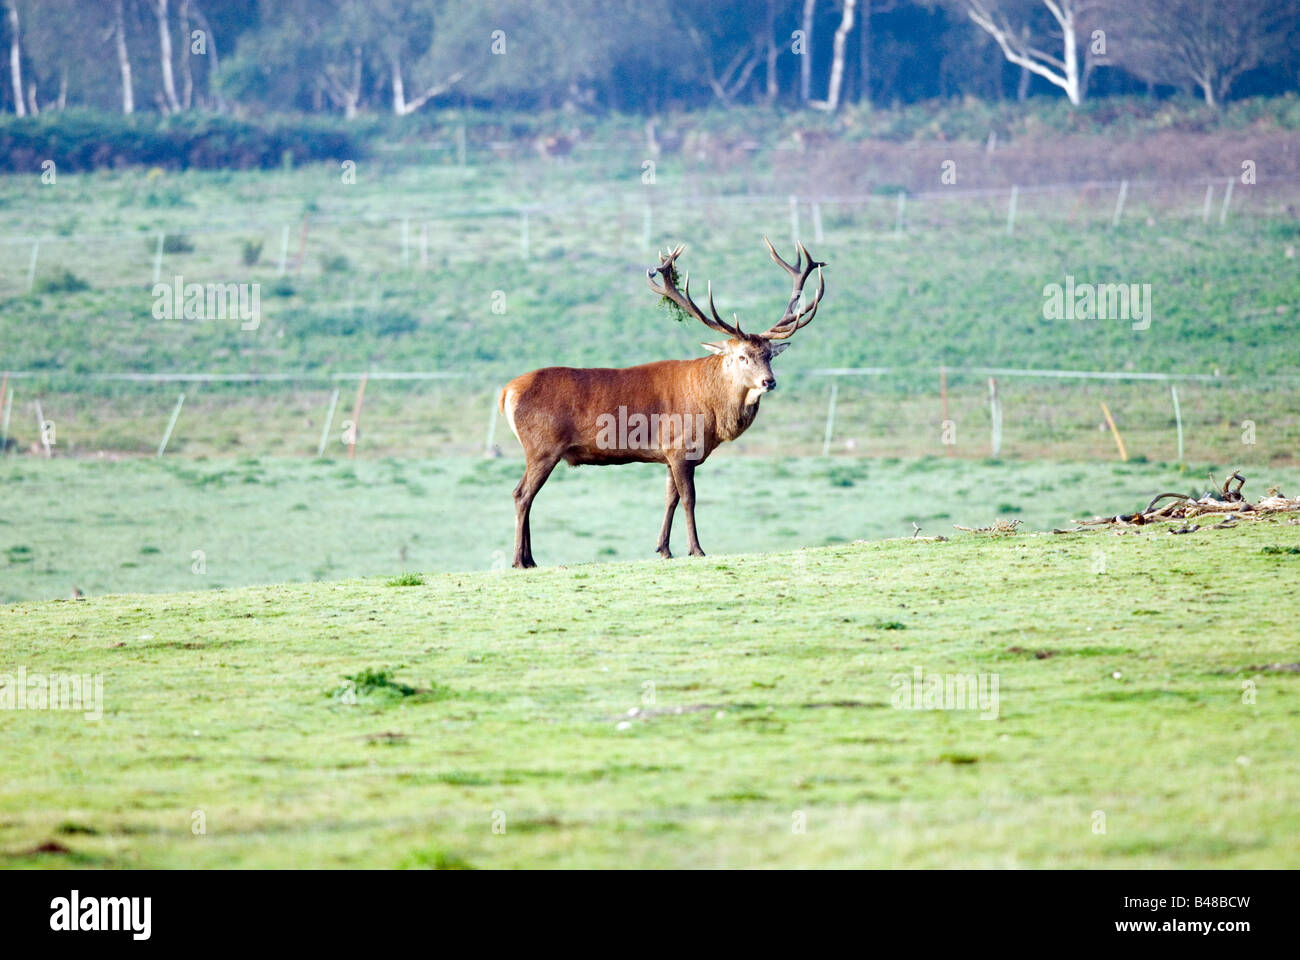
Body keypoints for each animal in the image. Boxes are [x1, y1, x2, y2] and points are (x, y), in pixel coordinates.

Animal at [498, 238, 826, 568]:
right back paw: (519, 560)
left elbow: (671, 498)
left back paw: (530, 559)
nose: (769, 382)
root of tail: (506, 392)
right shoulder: (681, 447)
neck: (713, 411)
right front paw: (696, 549)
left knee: (525, 494)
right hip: (542, 447)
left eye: (769, 355)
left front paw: (664, 549)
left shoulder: (668, 454)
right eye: (742, 356)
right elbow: (689, 498)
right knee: (521, 494)